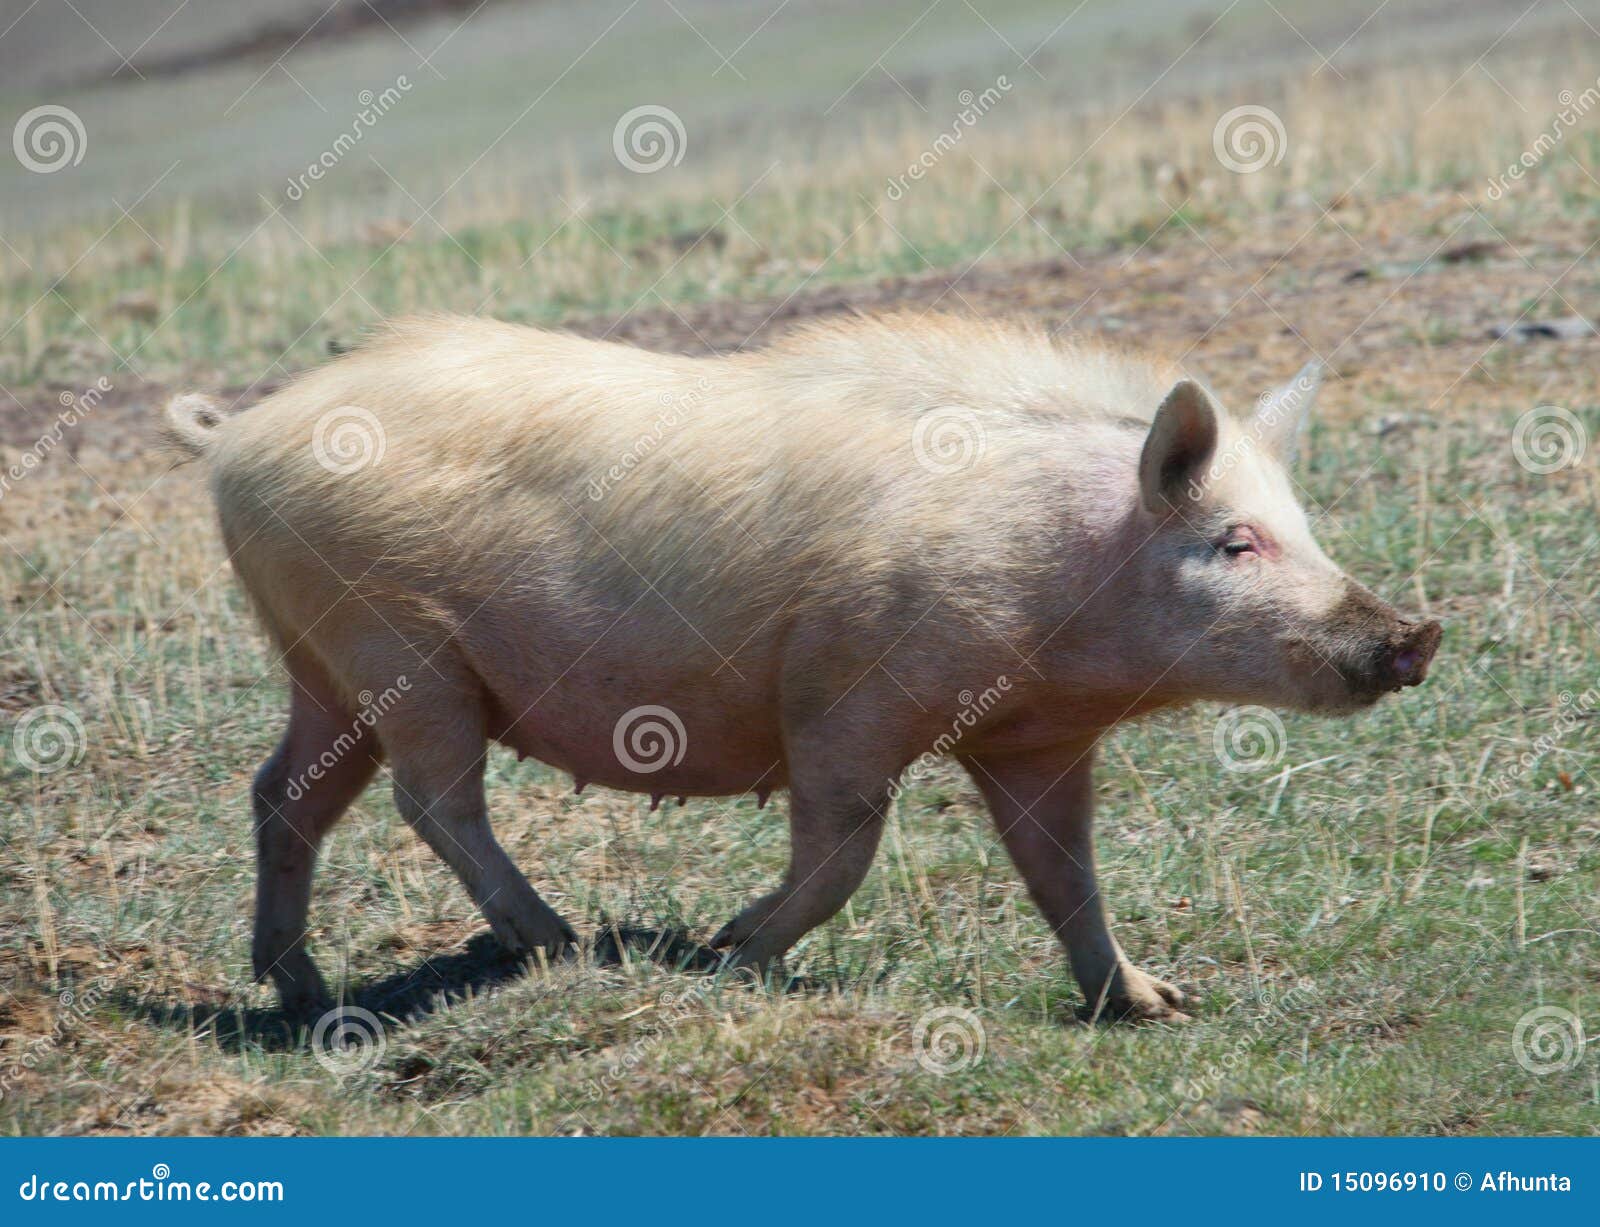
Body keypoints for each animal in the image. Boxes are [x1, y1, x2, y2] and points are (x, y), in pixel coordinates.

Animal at [164, 313, 1441, 1023]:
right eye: (1234, 541)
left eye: (1306, 526)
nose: (1414, 633)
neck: (1054, 587)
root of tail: (239, 434)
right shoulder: (842, 693)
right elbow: (845, 850)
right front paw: (729, 954)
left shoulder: (1034, 738)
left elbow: (1064, 872)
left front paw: (1155, 1006)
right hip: (398, 647)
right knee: (433, 798)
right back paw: (561, 943)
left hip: (322, 665)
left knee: (283, 793)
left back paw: (299, 990)